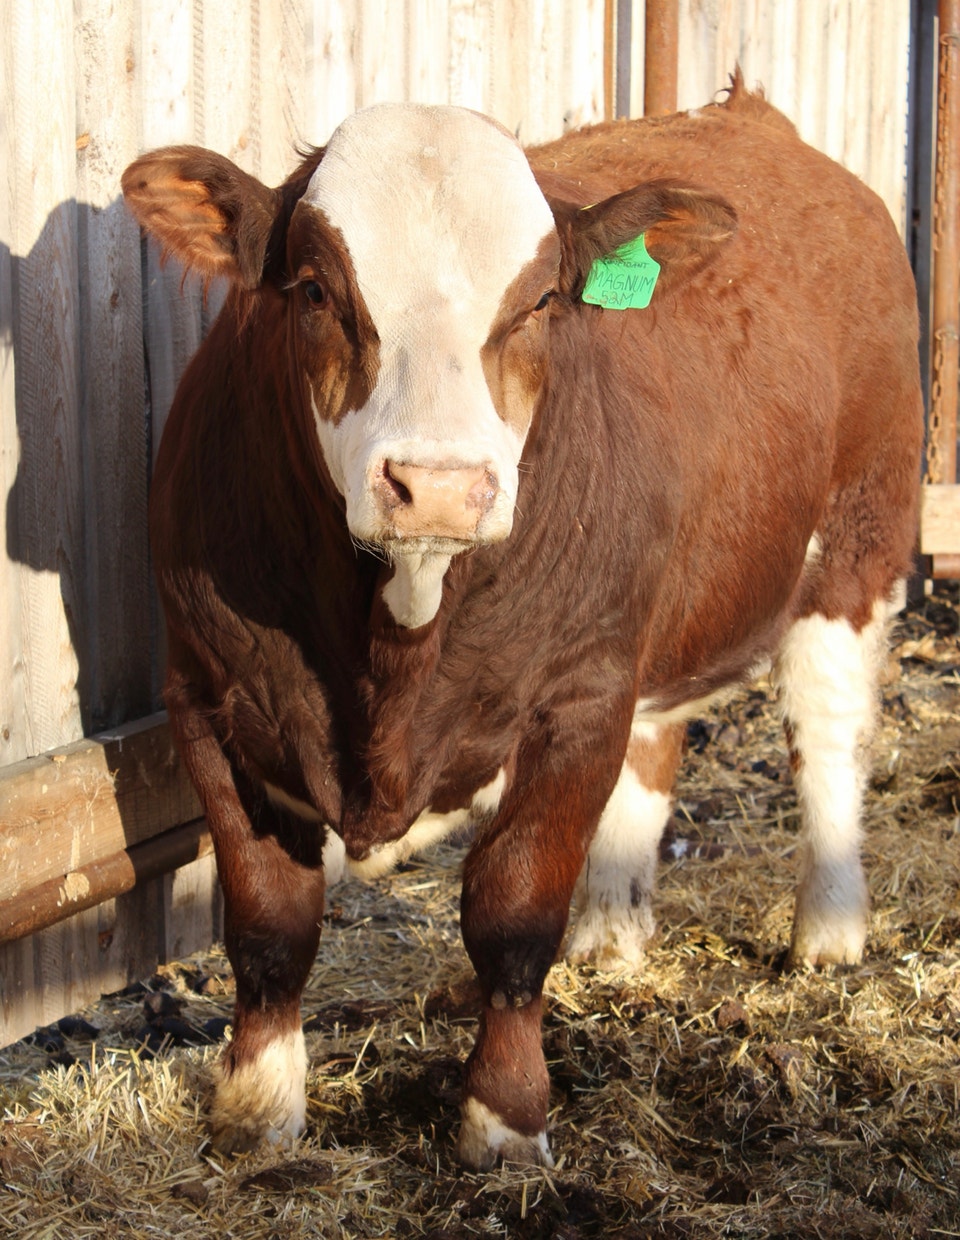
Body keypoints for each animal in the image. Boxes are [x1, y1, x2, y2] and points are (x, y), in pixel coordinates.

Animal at [121, 74, 923, 1170]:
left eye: (542, 301)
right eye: (317, 291)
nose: (438, 486)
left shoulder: (575, 697)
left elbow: (512, 906)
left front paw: (504, 1116)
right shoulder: (208, 693)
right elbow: (268, 917)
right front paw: (257, 1106)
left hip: (859, 539)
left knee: (828, 734)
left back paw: (829, 930)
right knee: (654, 745)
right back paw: (614, 933)